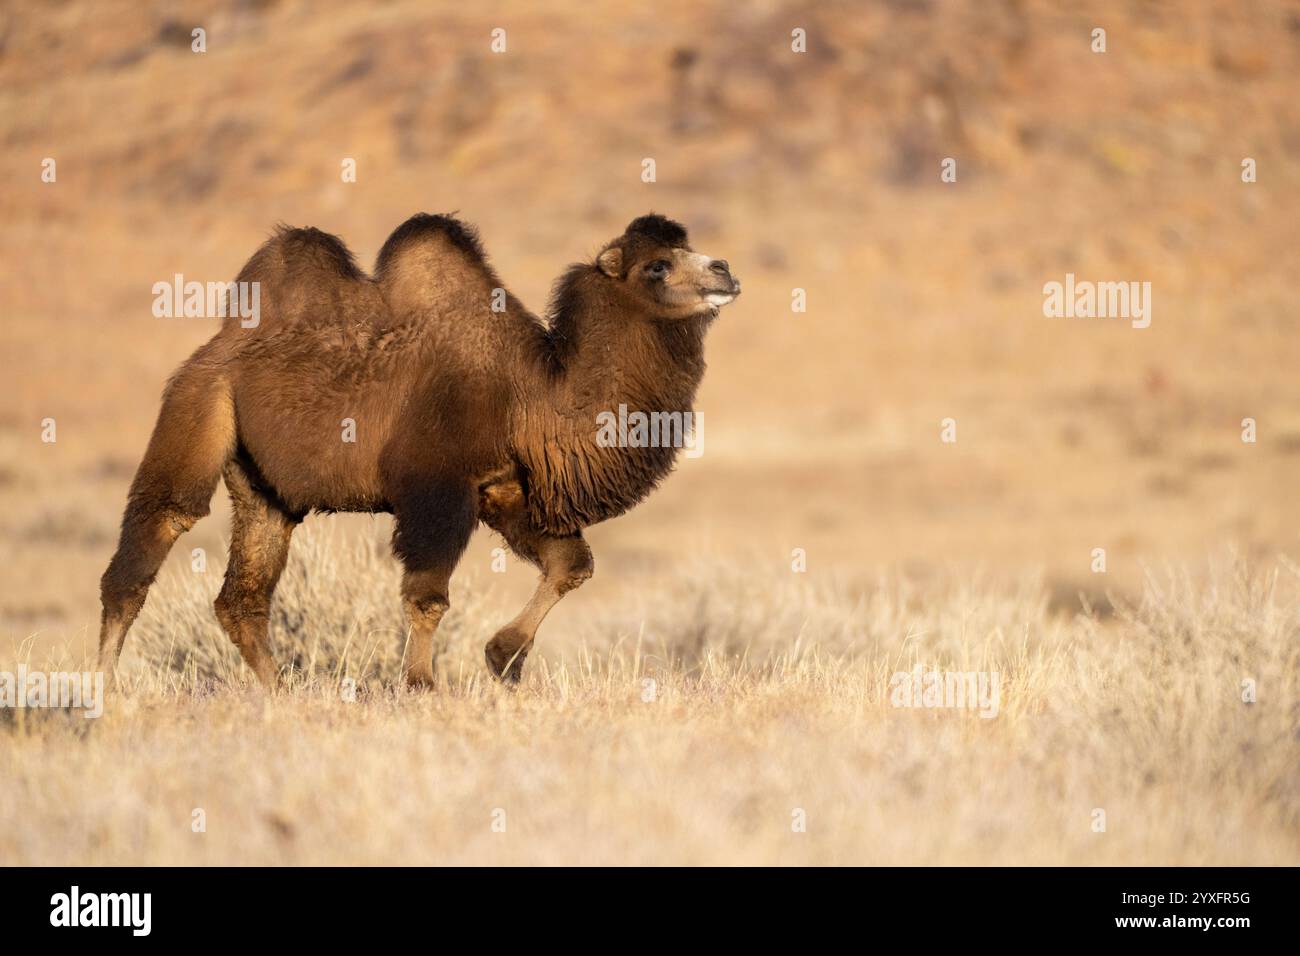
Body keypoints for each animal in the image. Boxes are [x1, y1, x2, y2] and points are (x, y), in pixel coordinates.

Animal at [97, 213, 740, 687]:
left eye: (688, 249)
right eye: (657, 265)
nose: (725, 270)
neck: (532, 392)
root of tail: (214, 349)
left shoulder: (505, 487)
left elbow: (571, 565)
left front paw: (503, 658)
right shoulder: (438, 488)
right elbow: (427, 596)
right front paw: (421, 687)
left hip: (263, 486)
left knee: (243, 595)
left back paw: (280, 694)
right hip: (198, 407)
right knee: (155, 533)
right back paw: (101, 689)